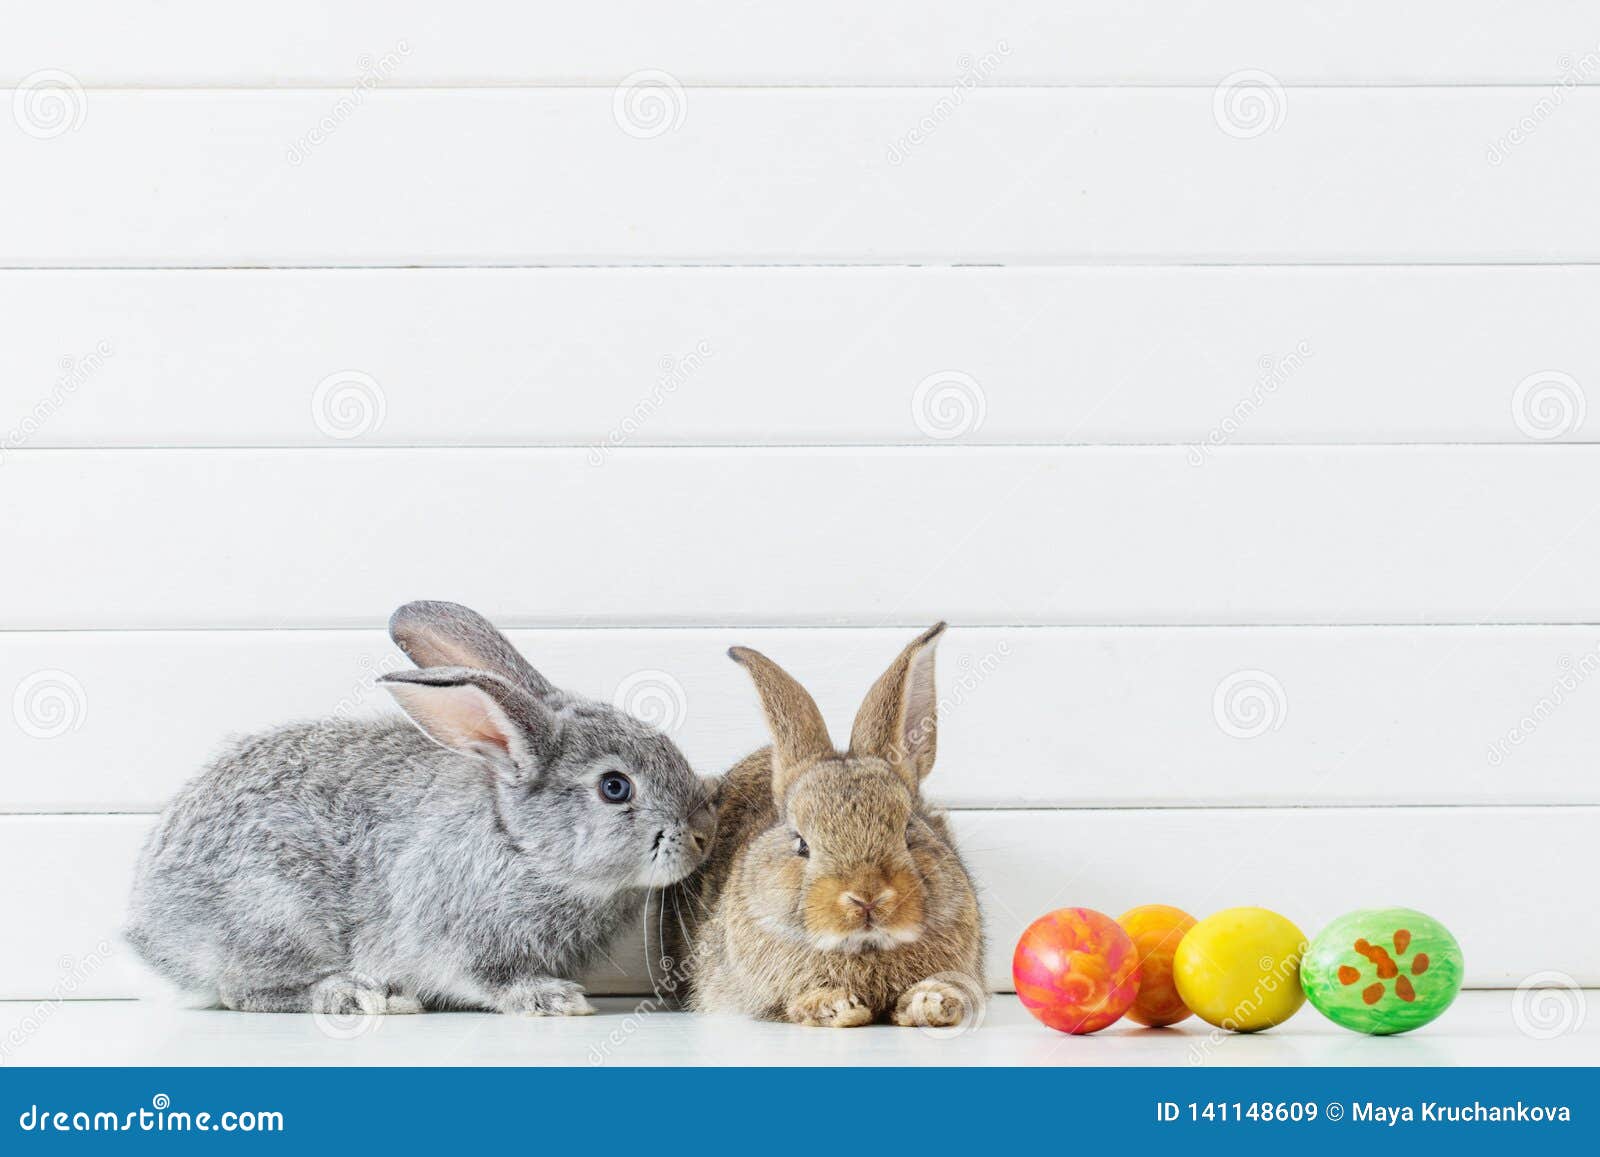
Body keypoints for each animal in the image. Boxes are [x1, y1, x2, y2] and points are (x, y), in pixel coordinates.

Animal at [125, 600, 718, 1017]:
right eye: (615, 787)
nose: (701, 835)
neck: (522, 845)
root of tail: (148, 930)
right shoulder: (460, 938)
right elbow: (490, 979)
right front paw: (554, 999)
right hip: (275, 915)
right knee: (243, 990)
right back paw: (360, 995)